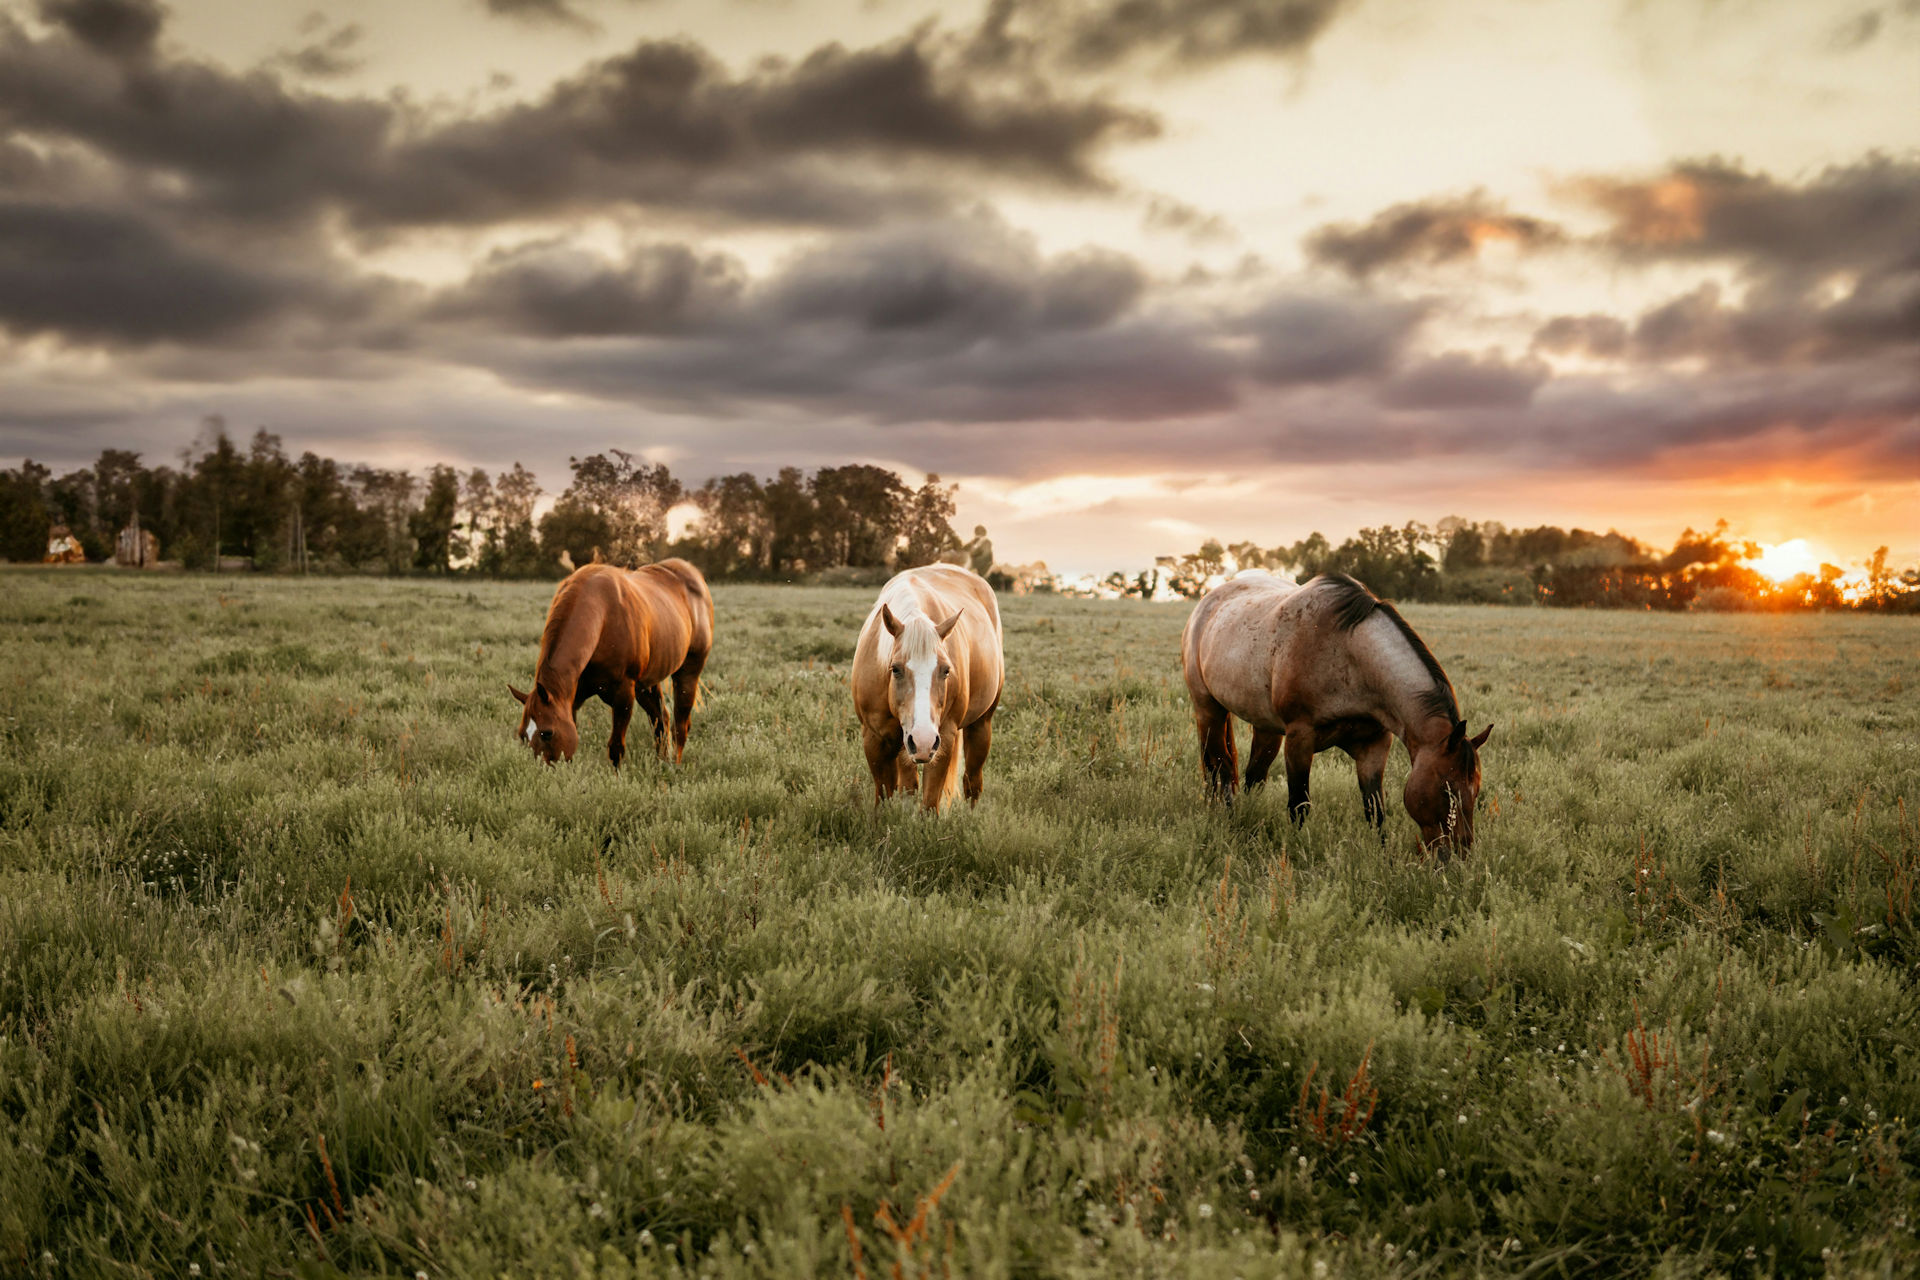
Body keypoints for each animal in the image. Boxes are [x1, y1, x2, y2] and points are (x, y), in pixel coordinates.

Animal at [510, 559, 713, 767]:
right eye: (522, 735)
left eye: (547, 733)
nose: (538, 769)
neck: (602, 618)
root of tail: (693, 573)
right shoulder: (572, 697)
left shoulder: (623, 694)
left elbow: (616, 748)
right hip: (646, 684)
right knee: (661, 719)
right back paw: (661, 765)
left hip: (688, 671)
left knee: (680, 724)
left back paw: (674, 766)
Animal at [851, 564, 1004, 810]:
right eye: (895, 669)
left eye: (946, 670)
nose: (923, 740)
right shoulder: (875, 740)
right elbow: (884, 798)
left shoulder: (942, 740)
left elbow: (930, 803)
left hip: (981, 725)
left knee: (972, 782)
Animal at [1181, 571, 1491, 857]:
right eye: (1447, 790)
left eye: (1475, 790)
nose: (1459, 854)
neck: (1348, 656)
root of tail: (1207, 602)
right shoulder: (1299, 738)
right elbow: (1299, 805)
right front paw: (1298, 853)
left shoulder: (1374, 745)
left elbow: (1375, 809)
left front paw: (1380, 858)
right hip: (1208, 710)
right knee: (1219, 767)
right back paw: (1227, 818)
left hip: (1265, 726)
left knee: (1253, 775)